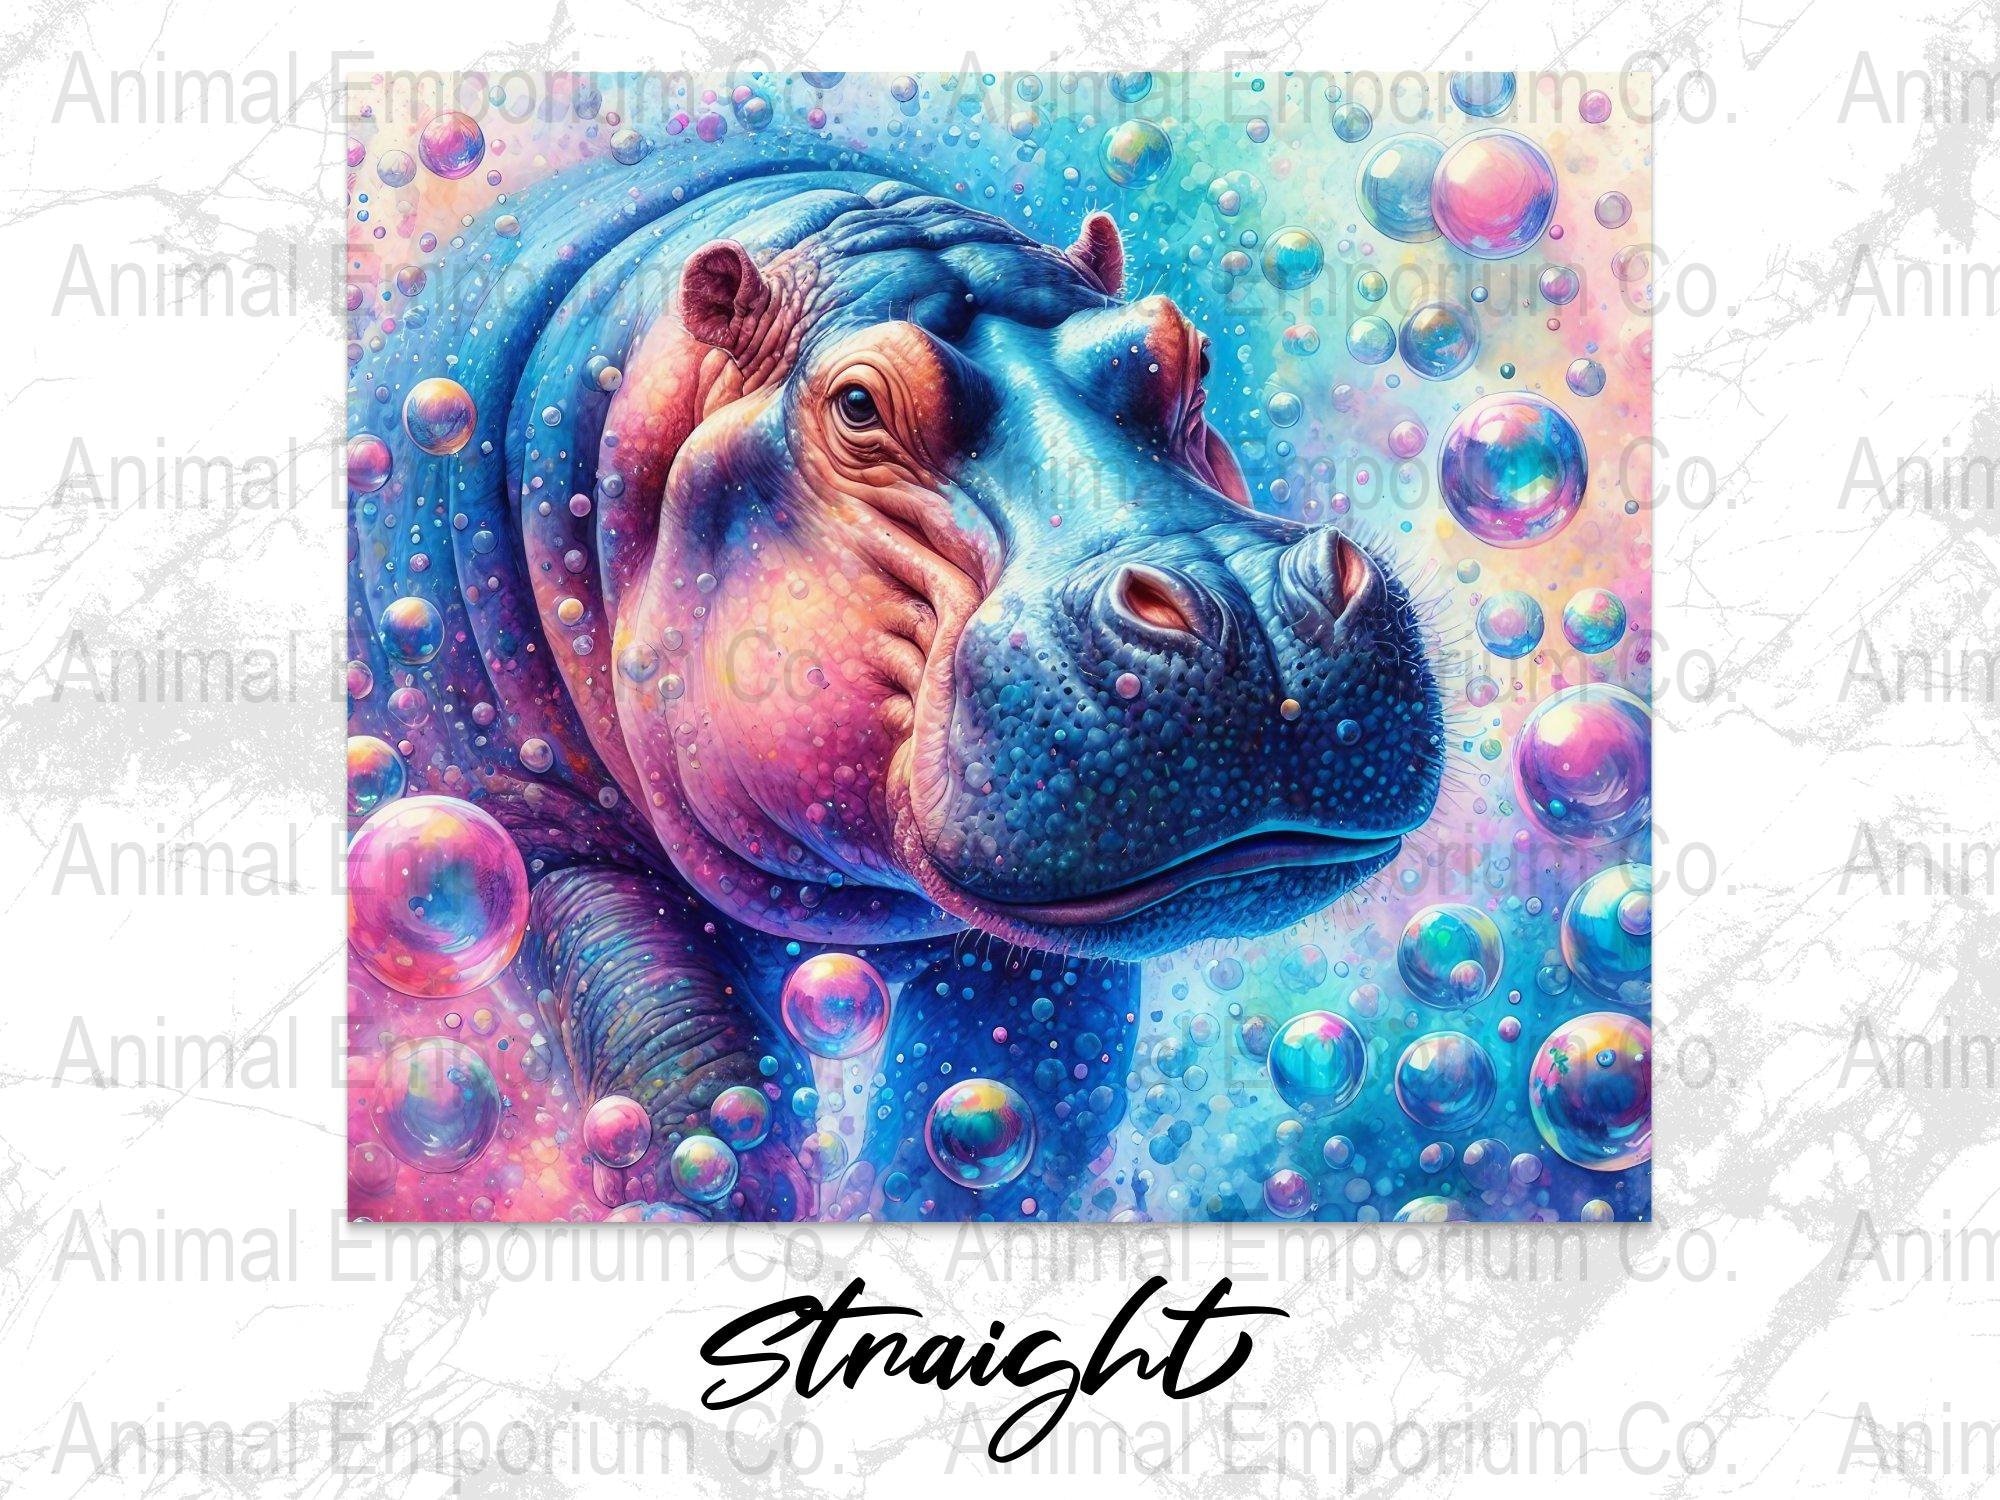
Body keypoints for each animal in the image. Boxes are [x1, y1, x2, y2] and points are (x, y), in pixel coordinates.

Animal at [348, 148, 1444, 1222]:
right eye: (858, 404)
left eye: (1184, 354)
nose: (1247, 603)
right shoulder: (531, 827)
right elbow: (690, 1073)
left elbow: (1000, 1121)